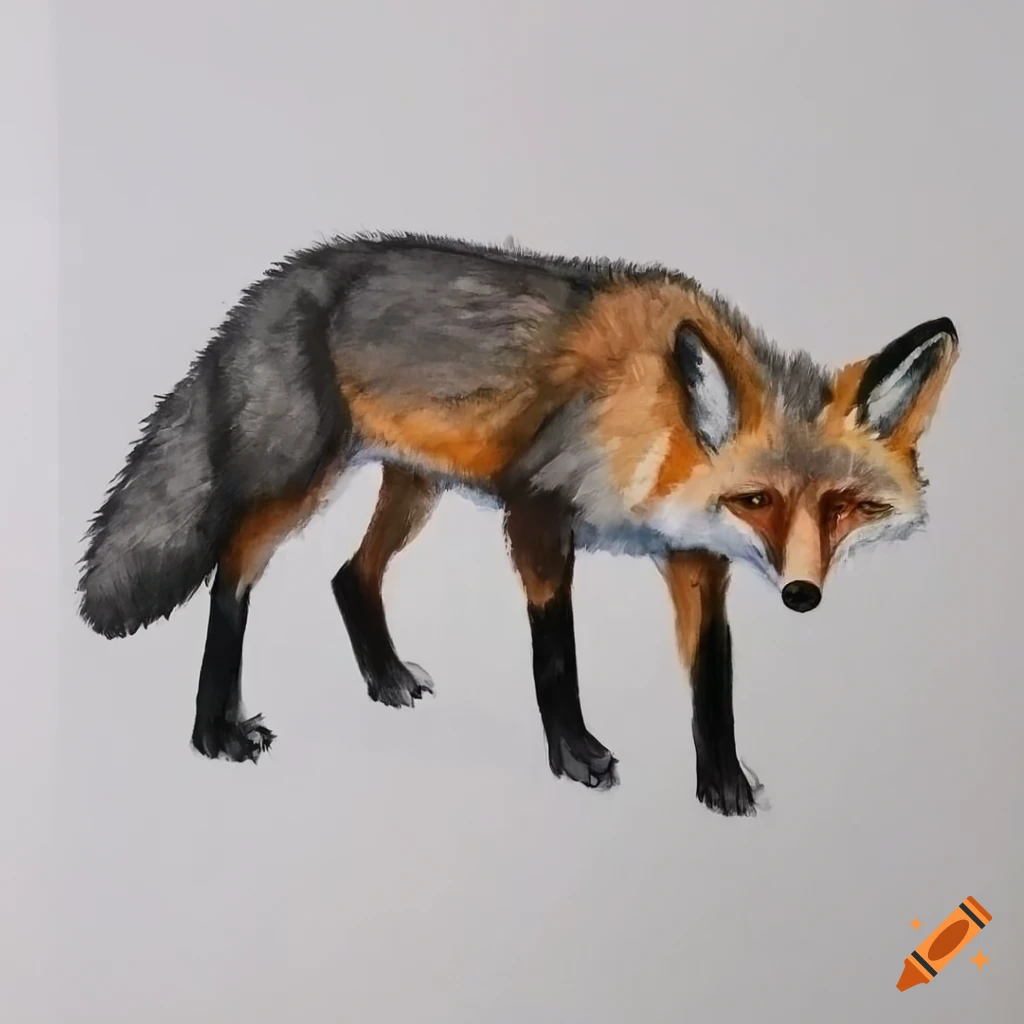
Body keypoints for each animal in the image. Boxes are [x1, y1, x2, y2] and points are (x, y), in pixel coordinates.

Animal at [77, 232, 959, 816]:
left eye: (847, 506)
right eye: (758, 500)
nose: (803, 594)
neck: (650, 419)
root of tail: (279, 278)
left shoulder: (692, 554)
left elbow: (715, 675)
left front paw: (724, 782)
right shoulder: (537, 510)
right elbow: (555, 654)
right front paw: (575, 755)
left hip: (414, 487)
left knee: (349, 575)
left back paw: (384, 678)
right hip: (303, 483)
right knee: (232, 574)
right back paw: (215, 730)